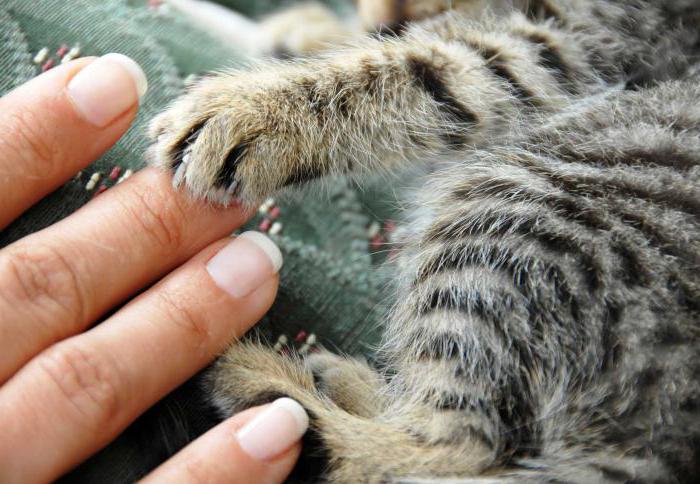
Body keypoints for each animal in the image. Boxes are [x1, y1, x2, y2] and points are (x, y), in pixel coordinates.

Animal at [148, 0, 700, 480]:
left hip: (516, 215)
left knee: (453, 450)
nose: (383, 14)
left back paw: (268, 392)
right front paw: (308, 31)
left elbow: (427, 69)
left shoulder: (583, 42)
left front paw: (255, 109)